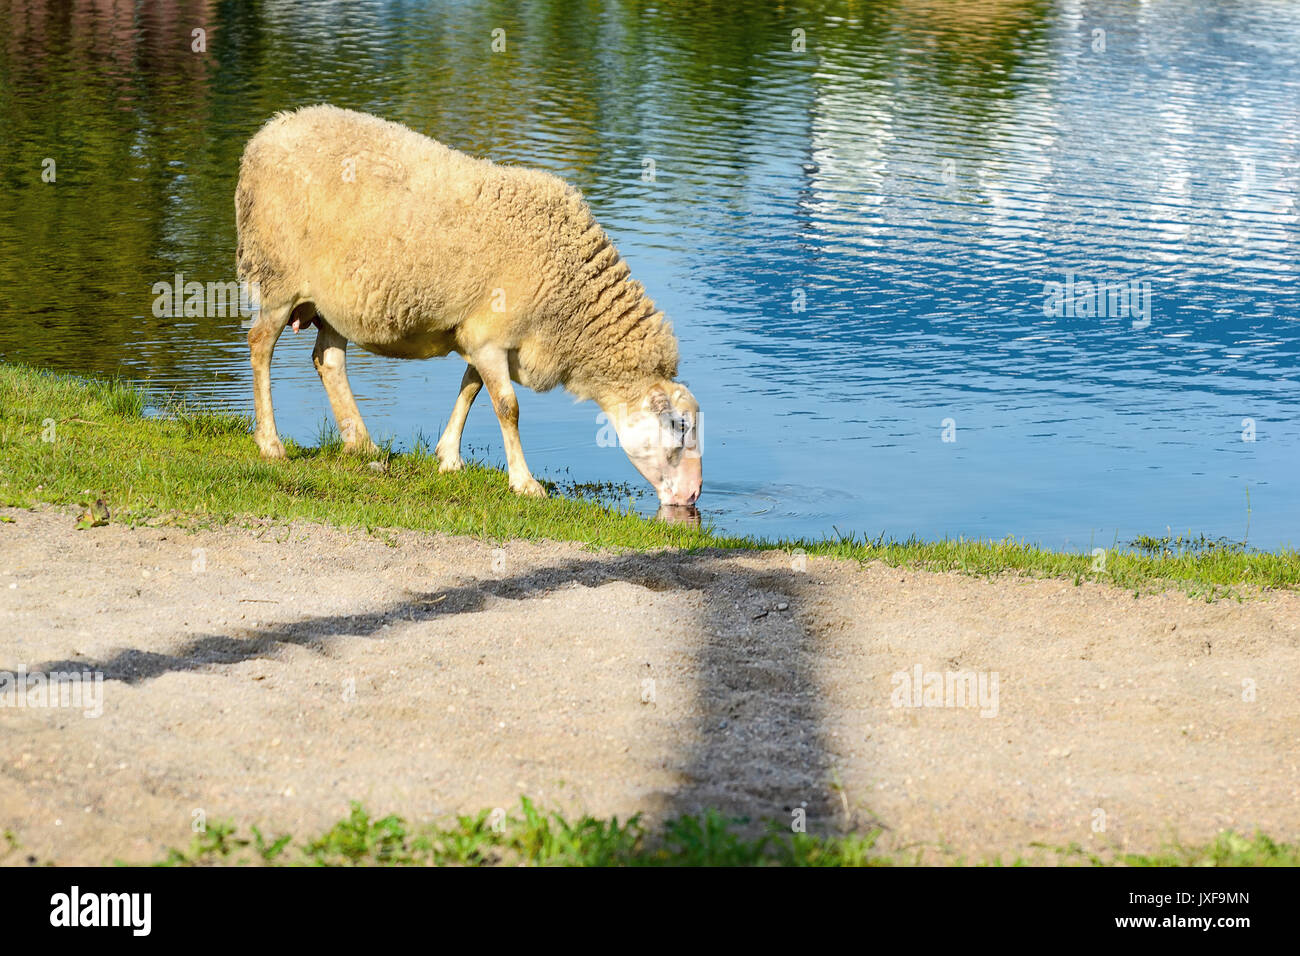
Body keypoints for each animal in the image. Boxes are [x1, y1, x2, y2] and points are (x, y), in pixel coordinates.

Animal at [235, 105, 701, 507]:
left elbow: (471, 389)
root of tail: (270, 130)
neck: (572, 304)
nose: (694, 495)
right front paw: (524, 483)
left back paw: (361, 443)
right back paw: (272, 444)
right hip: (278, 276)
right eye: (679, 427)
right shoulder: (490, 338)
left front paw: (449, 457)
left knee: (329, 359)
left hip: (337, 297)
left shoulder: (481, 333)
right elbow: (508, 408)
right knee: (260, 344)